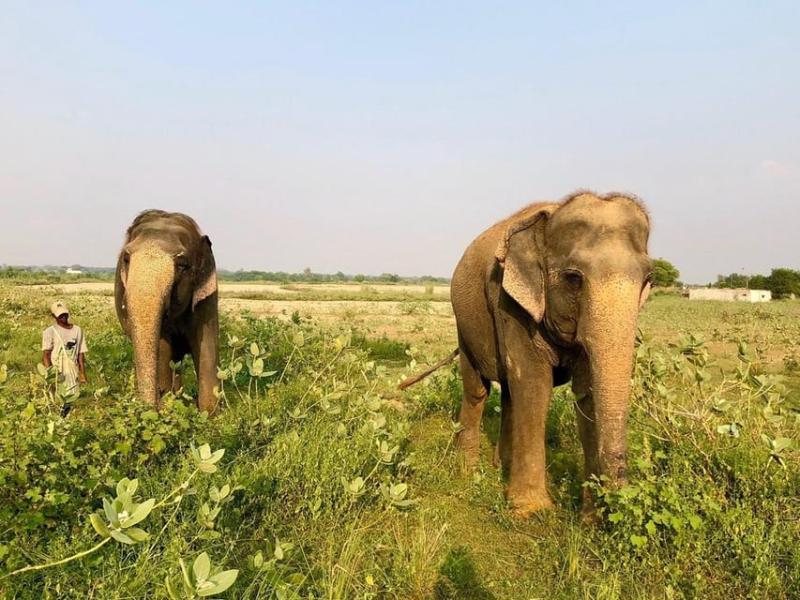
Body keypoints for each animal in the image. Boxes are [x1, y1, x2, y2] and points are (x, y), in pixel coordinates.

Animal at [114, 210, 220, 414]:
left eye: (182, 264)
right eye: (126, 259)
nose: (150, 408)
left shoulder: (206, 297)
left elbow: (207, 345)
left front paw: (210, 416)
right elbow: (162, 348)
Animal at [400, 191, 651, 518]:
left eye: (648, 279)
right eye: (573, 278)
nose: (614, 503)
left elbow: (586, 394)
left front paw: (589, 519)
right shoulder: (509, 303)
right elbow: (534, 384)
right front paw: (531, 511)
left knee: (509, 393)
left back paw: (501, 466)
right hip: (464, 324)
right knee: (477, 390)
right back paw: (468, 471)